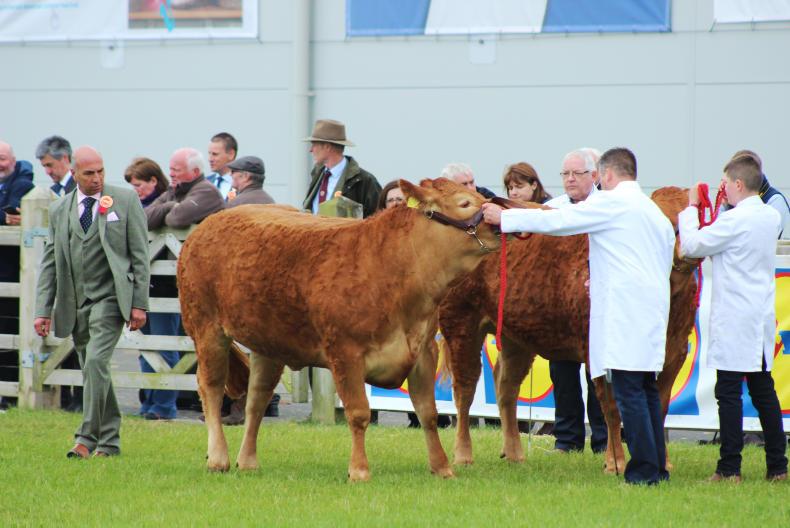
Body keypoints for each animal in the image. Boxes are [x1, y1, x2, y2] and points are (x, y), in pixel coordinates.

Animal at [177, 177, 500, 481]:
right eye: (464, 203)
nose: (497, 223)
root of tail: (209, 223)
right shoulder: (345, 352)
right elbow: (358, 413)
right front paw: (359, 470)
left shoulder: (423, 351)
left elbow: (428, 413)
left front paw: (442, 467)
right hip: (206, 327)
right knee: (211, 388)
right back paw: (218, 458)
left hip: (267, 343)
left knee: (256, 399)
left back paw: (248, 461)